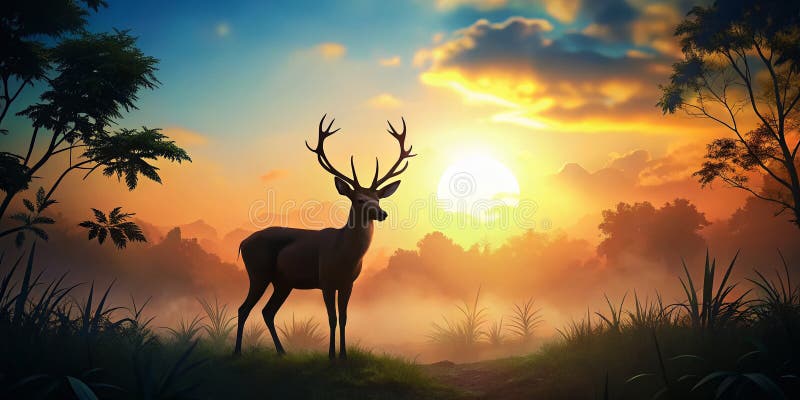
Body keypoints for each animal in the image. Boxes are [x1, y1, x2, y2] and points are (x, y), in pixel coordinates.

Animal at [233, 115, 415, 359]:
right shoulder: (326, 281)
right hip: (258, 272)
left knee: (267, 311)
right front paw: (331, 356)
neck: (344, 256)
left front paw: (344, 355)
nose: (382, 213)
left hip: (283, 282)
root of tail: (243, 243)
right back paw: (237, 352)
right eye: (359, 199)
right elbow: (332, 318)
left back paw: (282, 352)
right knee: (244, 308)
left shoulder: (348, 283)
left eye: (378, 199)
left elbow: (345, 318)